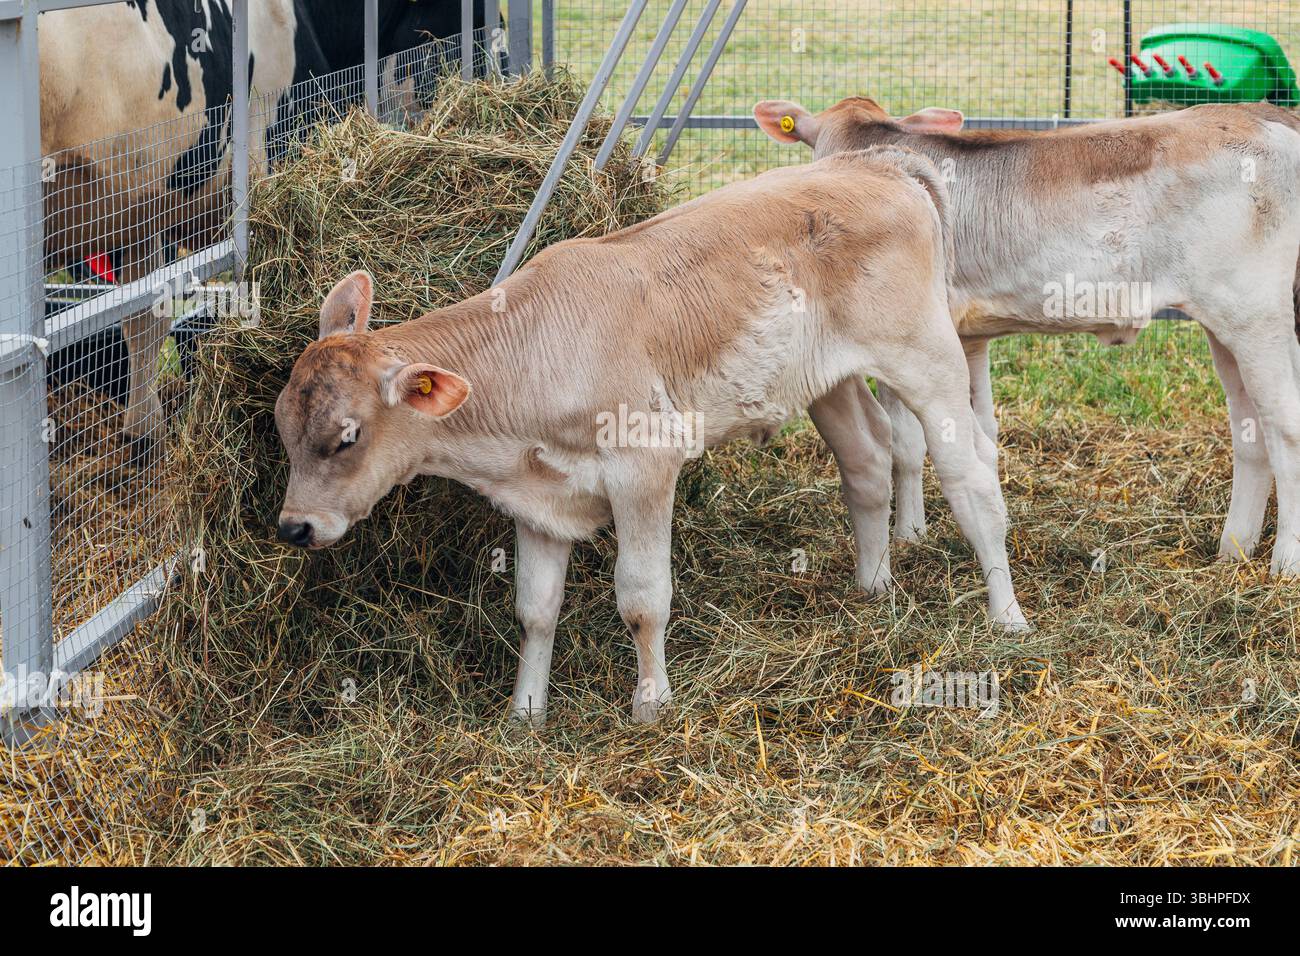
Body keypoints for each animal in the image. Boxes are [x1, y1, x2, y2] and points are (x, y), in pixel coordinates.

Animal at [271, 148, 1030, 726]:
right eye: (282, 428)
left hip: (927, 357)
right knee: (867, 460)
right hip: (827, 379)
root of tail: (875, 162)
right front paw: (525, 714)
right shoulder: (538, 499)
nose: (293, 527)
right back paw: (873, 588)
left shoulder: (644, 466)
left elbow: (642, 597)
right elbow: (534, 609)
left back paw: (1008, 618)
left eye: (346, 437)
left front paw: (651, 705)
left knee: (972, 480)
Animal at [754, 96, 1300, 576]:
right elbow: (984, 431)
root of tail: (1261, 112)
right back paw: (1233, 551)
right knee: (1249, 430)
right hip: (1226, 323)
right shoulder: (968, 337)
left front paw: (909, 534)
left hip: (1255, 315)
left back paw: (1284, 564)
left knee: (1285, 427)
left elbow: (907, 442)